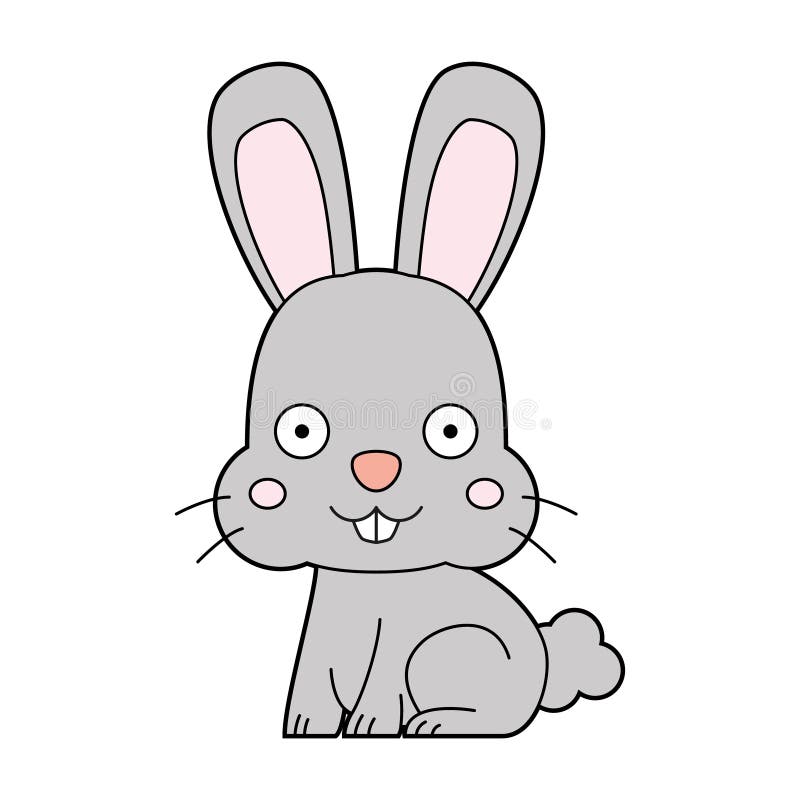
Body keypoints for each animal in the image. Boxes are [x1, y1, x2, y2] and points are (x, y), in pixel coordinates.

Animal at [202, 62, 624, 737]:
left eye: (451, 432)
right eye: (300, 431)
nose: (376, 469)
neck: (370, 584)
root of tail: (543, 666)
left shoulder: (398, 643)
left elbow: (381, 685)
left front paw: (372, 728)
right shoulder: (320, 641)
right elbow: (309, 684)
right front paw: (304, 729)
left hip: (451, 649)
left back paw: (437, 725)